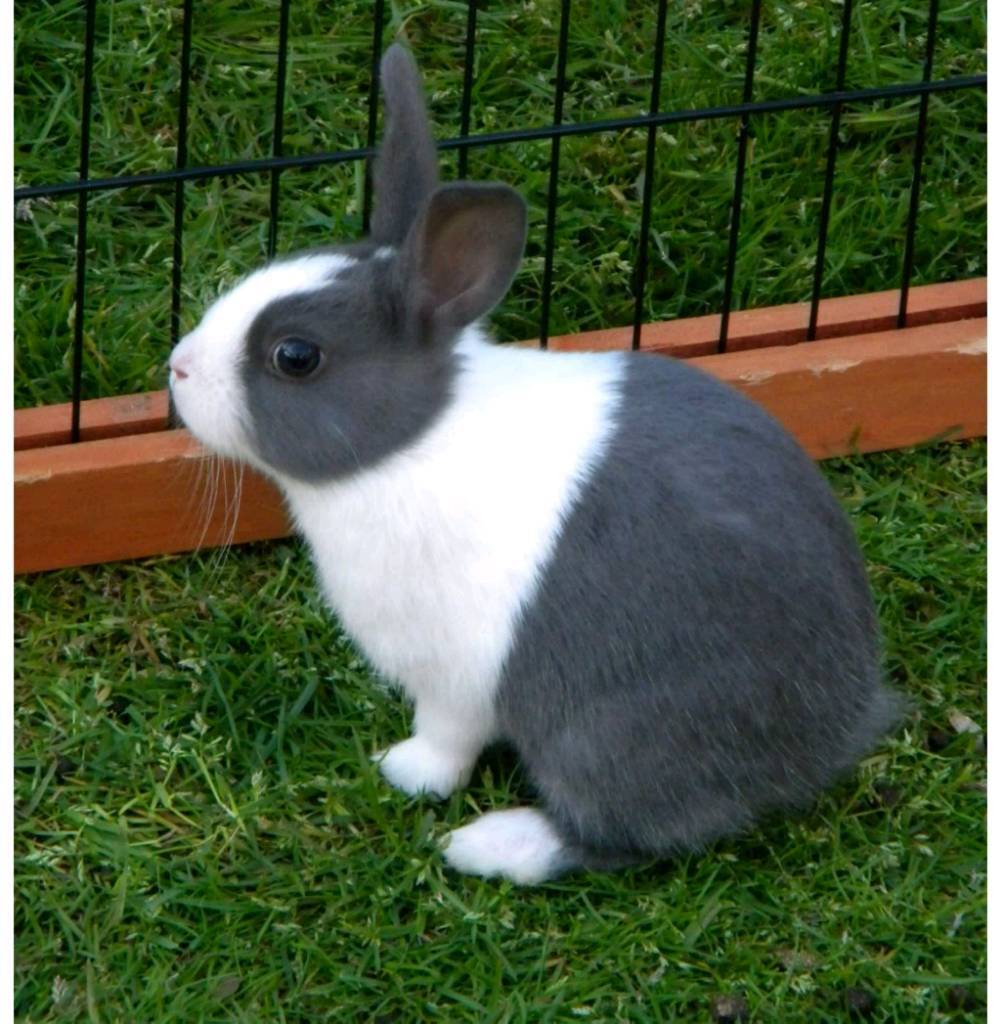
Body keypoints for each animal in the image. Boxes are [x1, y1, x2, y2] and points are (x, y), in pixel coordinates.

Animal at [169, 43, 902, 884]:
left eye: (295, 357)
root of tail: (836, 727)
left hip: (611, 734)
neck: (411, 441)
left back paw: (490, 844)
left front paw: (403, 771)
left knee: (626, 832)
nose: (177, 369)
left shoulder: (457, 675)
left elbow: (446, 740)